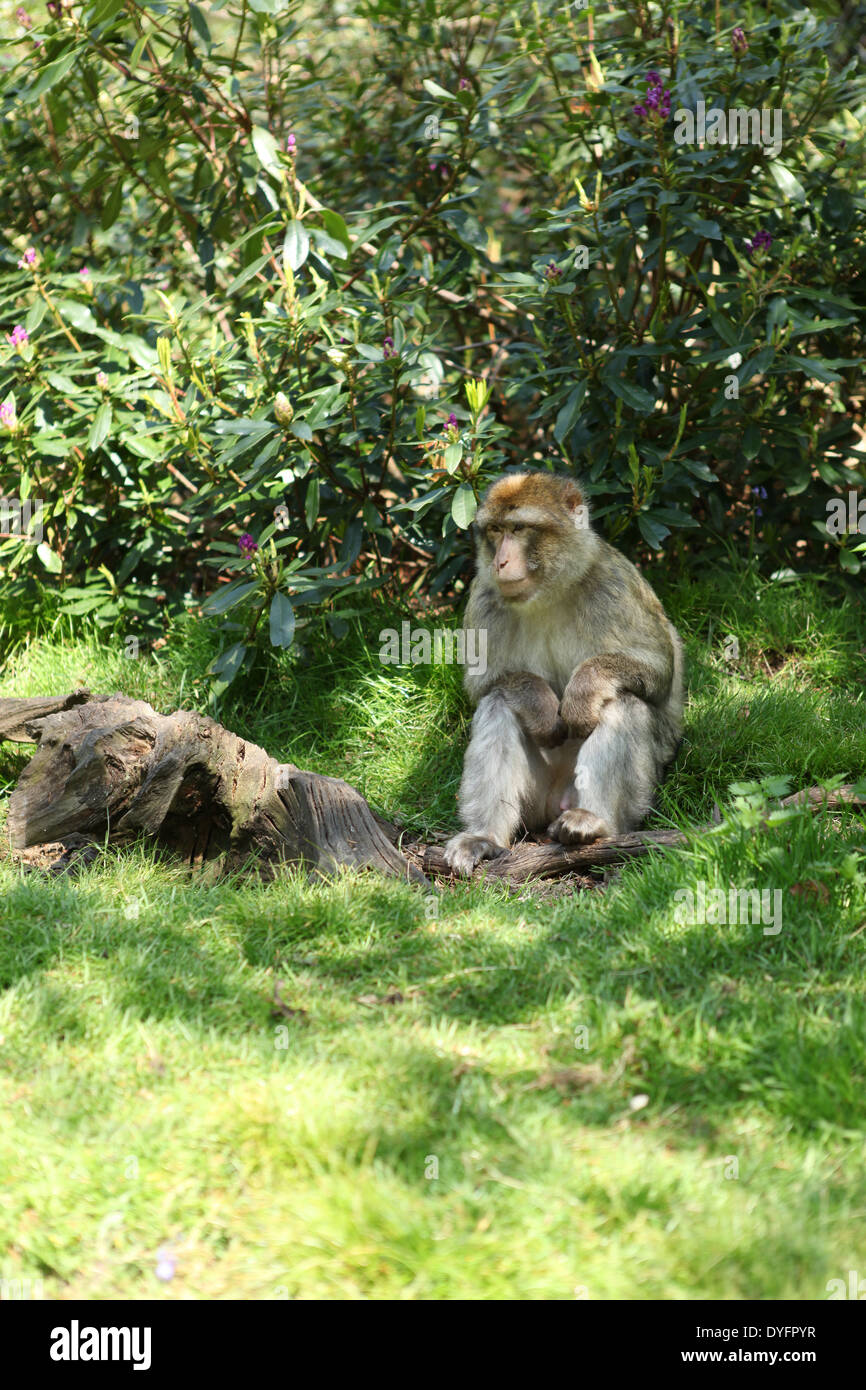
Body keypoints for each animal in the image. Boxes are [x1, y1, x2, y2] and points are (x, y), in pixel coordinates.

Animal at [443, 471, 684, 877]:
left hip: (636, 795)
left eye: (519, 528)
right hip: (533, 800)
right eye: (495, 530)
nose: (500, 562)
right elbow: (483, 685)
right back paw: (484, 837)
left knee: (623, 700)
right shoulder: (484, 595)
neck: (549, 593)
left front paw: (583, 692)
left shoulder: (614, 582)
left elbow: (658, 668)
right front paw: (540, 705)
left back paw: (592, 821)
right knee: (498, 703)